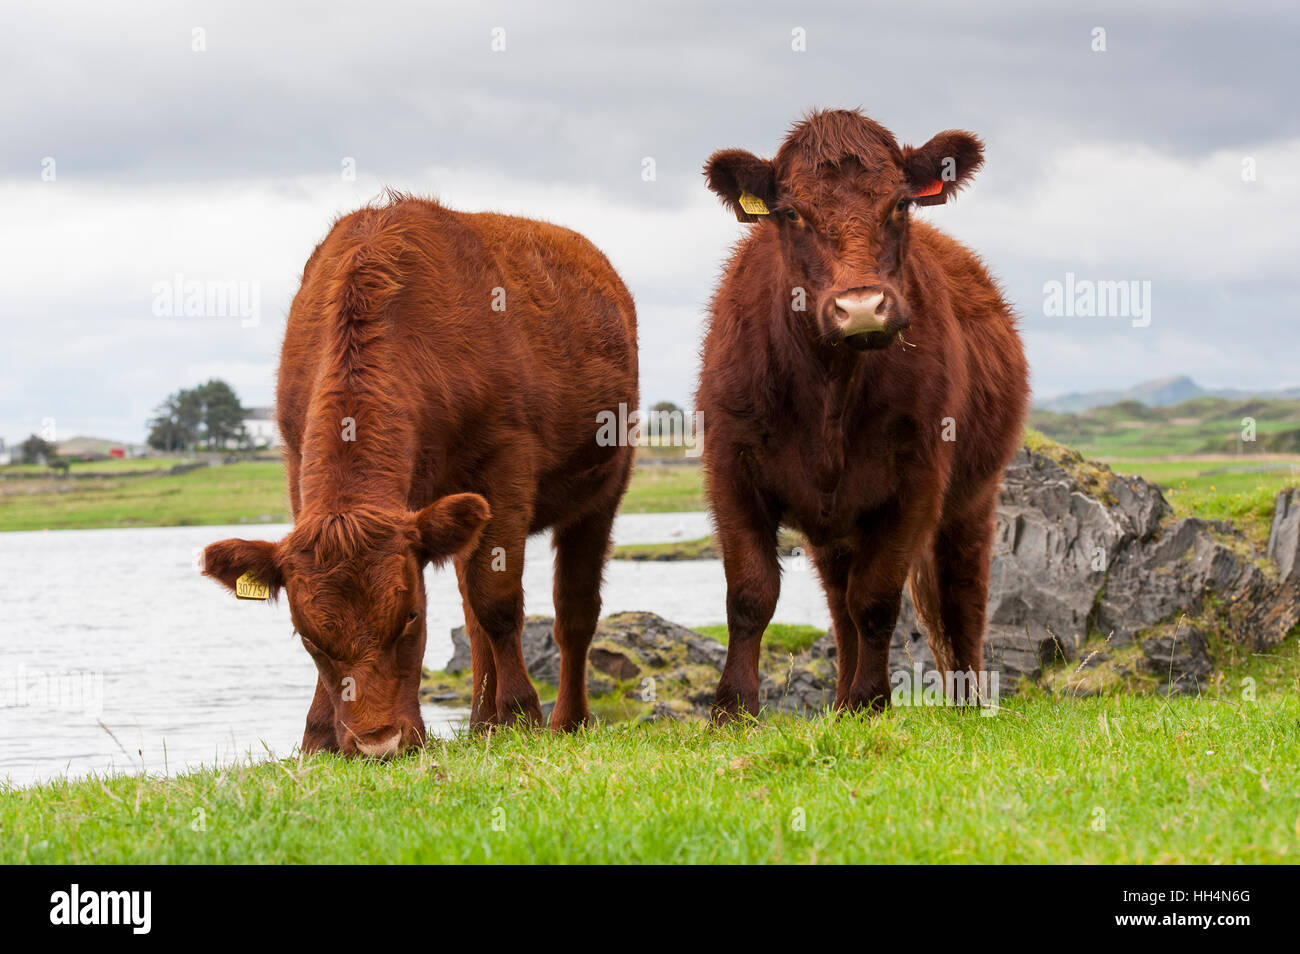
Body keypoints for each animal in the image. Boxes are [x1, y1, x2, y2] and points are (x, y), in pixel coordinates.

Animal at [201, 193, 638, 756]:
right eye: (309, 637)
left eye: (410, 616)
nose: (378, 745)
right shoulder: (299, 466)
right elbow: (478, 610)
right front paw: (318, 736)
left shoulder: (506, 466)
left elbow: (499, 602)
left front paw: (522, 714)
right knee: (474, 619)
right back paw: (482, 724)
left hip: (603, 489)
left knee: (573, 611)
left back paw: (566, 719)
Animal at [697, 109, 1029, 720]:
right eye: (791, 212)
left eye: (900, 204)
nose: (861, 309)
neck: (830, 388)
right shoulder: (730, 469)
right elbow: (751, 594)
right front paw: (732, 709)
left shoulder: (915, 481)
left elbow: (876, 600)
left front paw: (872, 701)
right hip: (835, 530)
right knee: (838, 604)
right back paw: (840, 701)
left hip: (972, 498)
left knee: (960, 595)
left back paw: (965, 703)